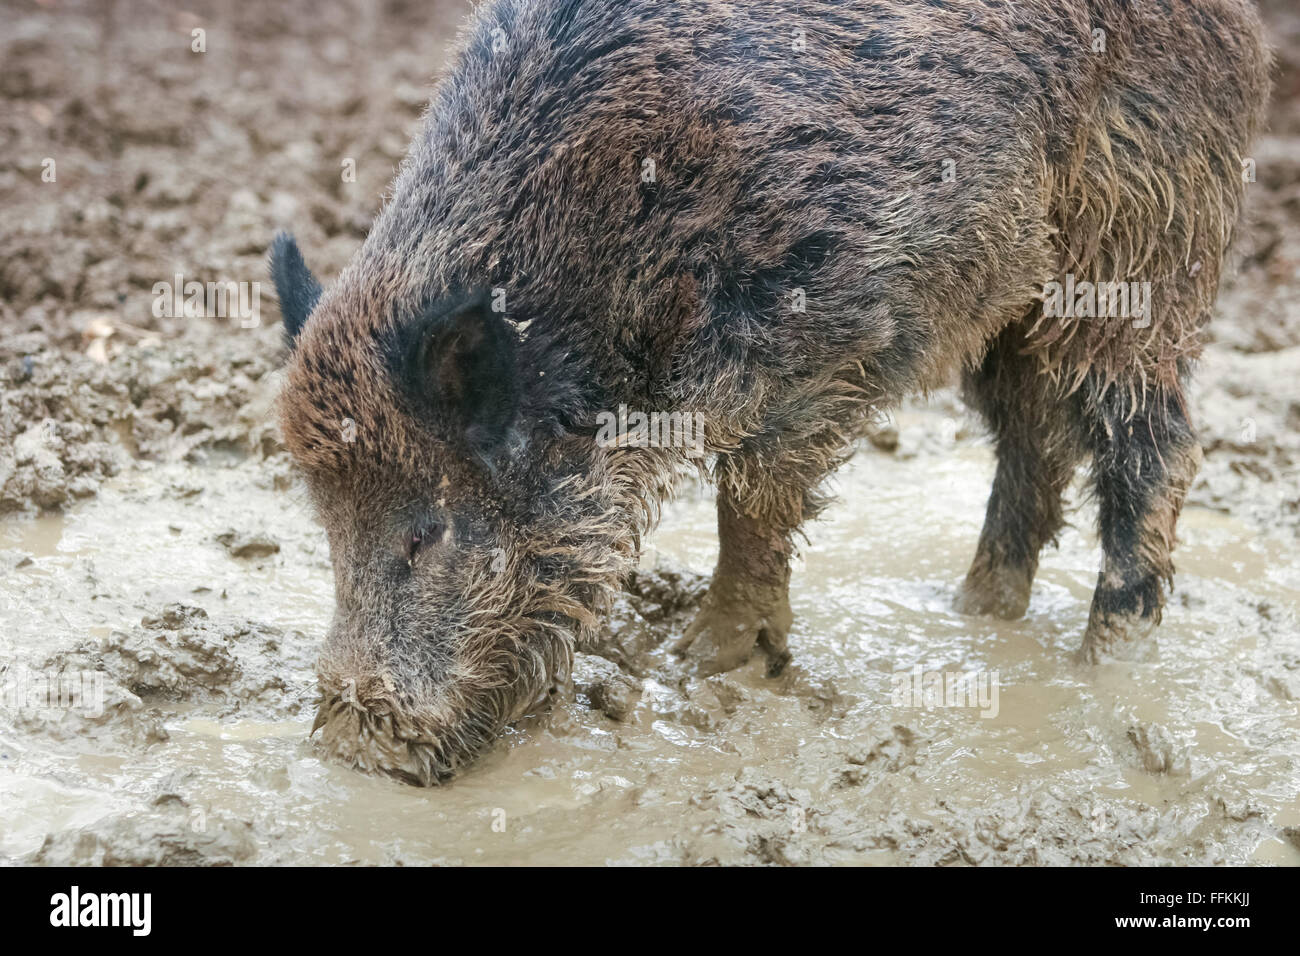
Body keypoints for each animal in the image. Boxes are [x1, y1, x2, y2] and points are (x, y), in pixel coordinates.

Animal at [271, 0, 1270, 783]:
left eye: (426, 531)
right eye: (326, 527)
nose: (356, 745)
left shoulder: (823, 335)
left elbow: (749, 504)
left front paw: (707, 666)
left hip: (1136, 258)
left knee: (1155, 443)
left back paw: (1107, 662)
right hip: (1017, 302)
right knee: (1032, 437)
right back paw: (973, 613)